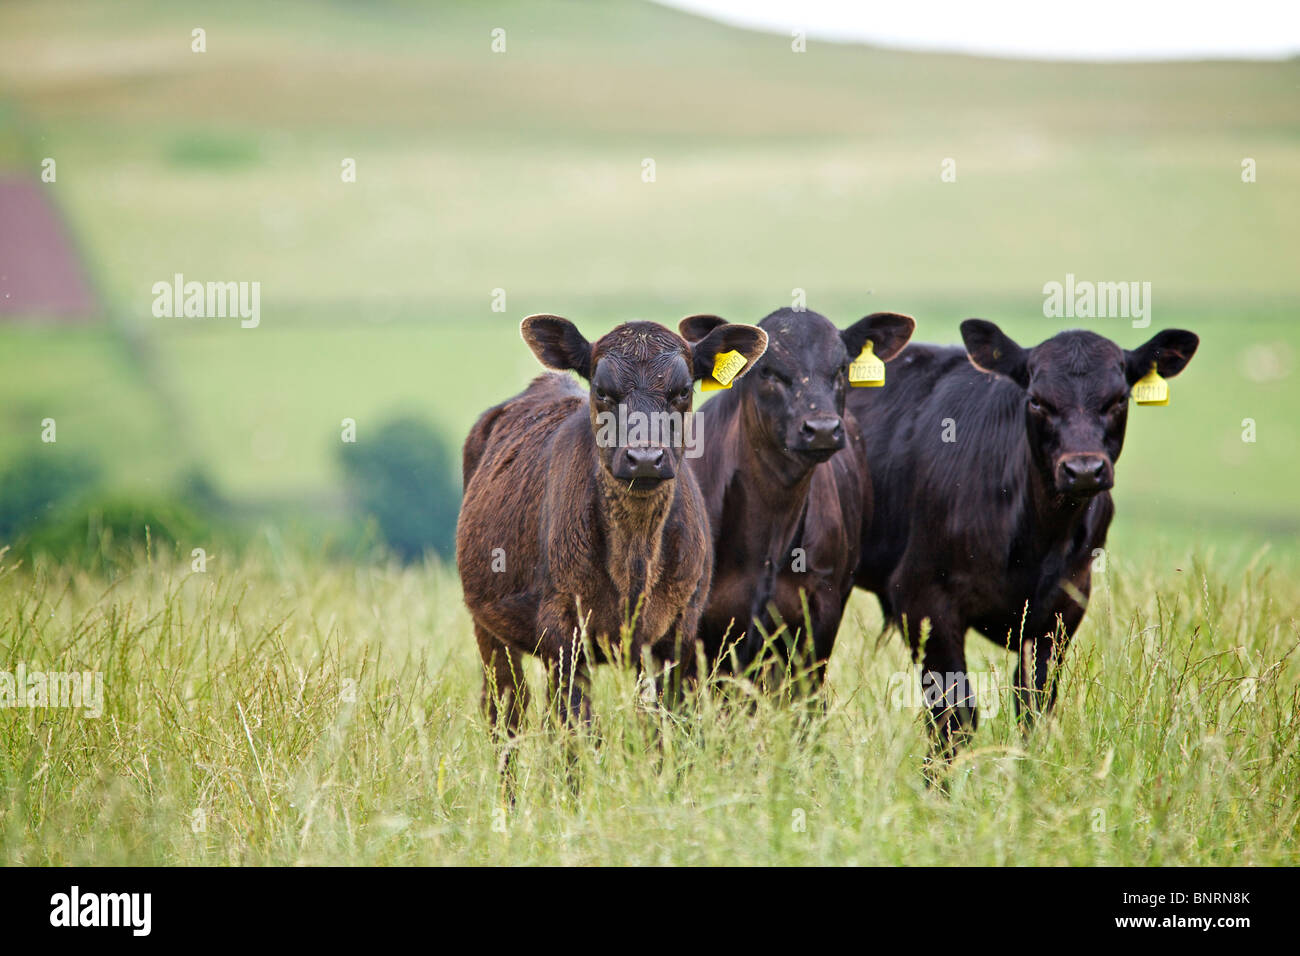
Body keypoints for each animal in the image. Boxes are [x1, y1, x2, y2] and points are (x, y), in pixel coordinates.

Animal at [456, 314, 768, 752]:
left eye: (682, 390)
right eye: (602, 391)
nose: (645, 458)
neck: (633, 562)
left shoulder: (678, 632)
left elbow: (669, 727)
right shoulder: (563, 631)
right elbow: (576, 731)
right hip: (487, 627)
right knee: (507, 711)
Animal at [848, 320, 1199, 761]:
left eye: (1119, 399)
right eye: (1036, 401)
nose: (1084, 470)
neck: (1035, 541)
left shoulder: (1062, 610)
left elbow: (1034, 708)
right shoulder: (922, 598)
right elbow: (953, 718)